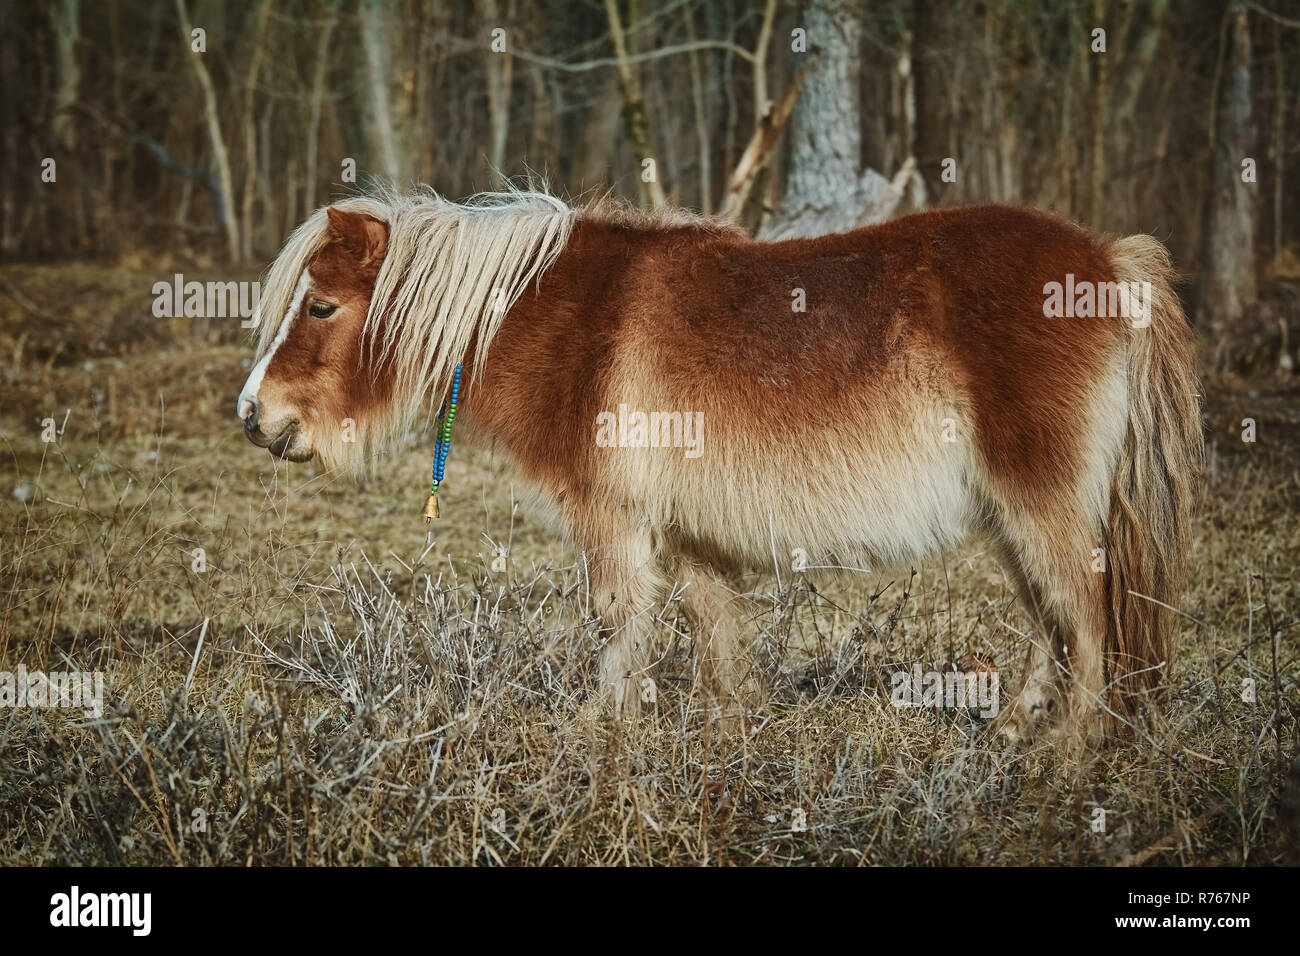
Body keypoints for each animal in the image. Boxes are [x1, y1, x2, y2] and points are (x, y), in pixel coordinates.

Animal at [236, 187, 1202, 741]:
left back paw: (1068, 763)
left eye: (321, 306)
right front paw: (726, 743)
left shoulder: (615, 524)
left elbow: (615, 629)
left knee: (1085, 618)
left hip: (1041, 502)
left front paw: (596, 740)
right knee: (1053, 621)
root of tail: (1107, 262)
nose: (254, 416)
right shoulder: (688, 537)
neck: (565, 324)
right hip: (1012, 513)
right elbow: (718, 646)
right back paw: (1014, 739)